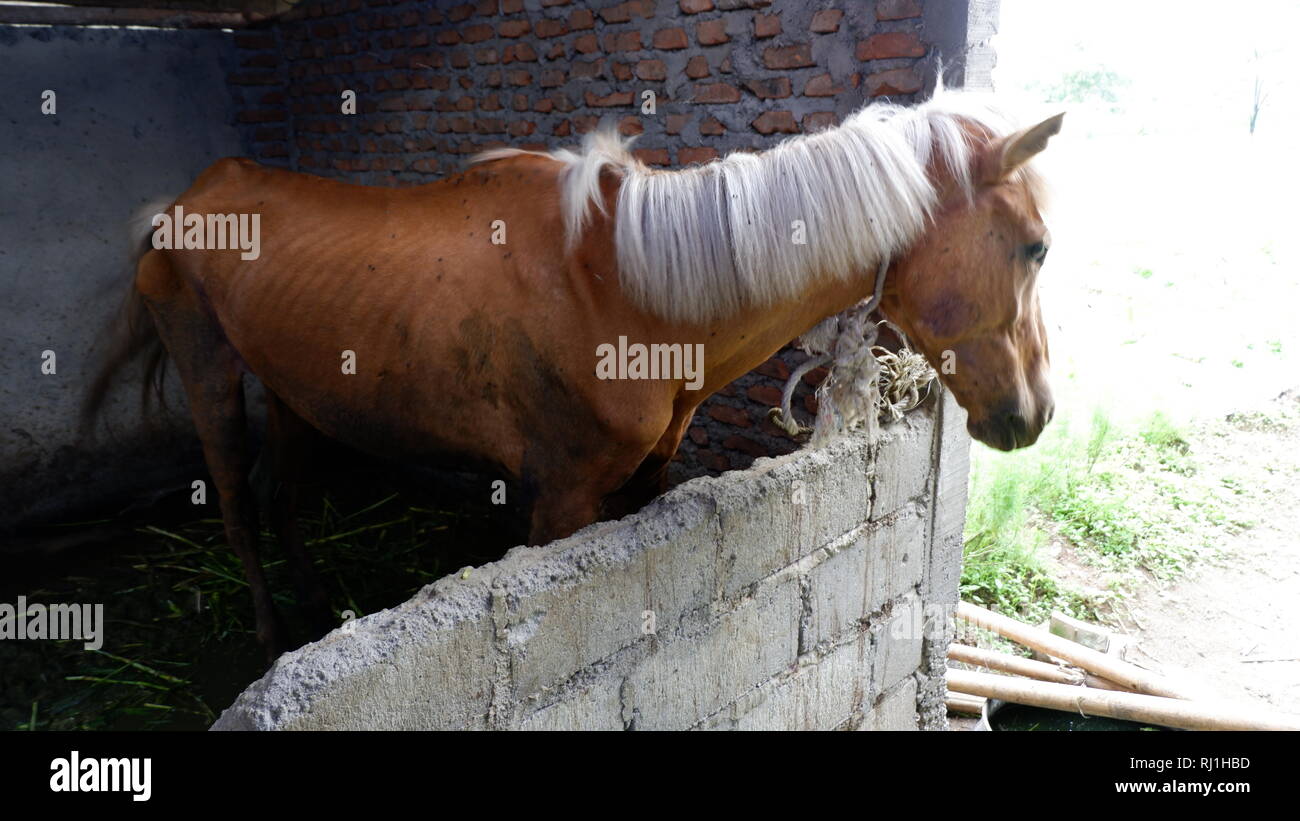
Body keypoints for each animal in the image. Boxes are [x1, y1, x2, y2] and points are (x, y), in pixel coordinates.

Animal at [83, 92, 1063, 661]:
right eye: (1036, 246)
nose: (1036, 413)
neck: (624, 284)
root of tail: (188, 199)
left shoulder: (644, 480)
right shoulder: (559, 500)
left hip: (297, 393)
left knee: (283, 498)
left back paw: (320, 611)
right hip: (212, 376)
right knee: (238, 503)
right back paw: (270, 630)